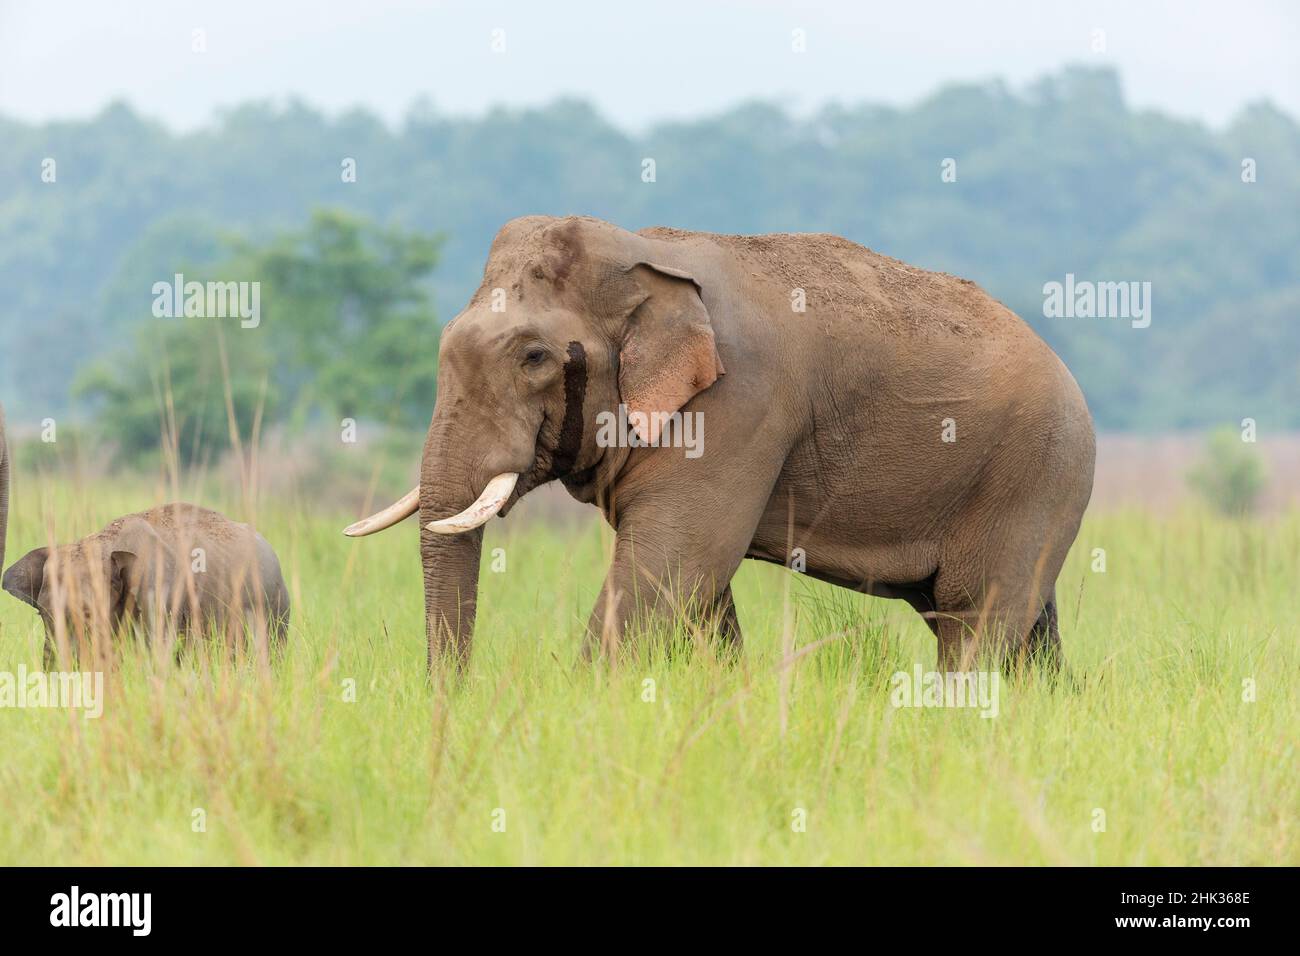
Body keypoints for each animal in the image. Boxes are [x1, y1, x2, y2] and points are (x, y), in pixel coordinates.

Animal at [345, 216, 1095, 673]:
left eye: (533, 357)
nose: (451, 701)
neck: (645, 256)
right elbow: (697, 588)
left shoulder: (740, 407)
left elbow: (675, 563)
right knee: (1024, 628)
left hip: (1035, 472)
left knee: (976, 616)